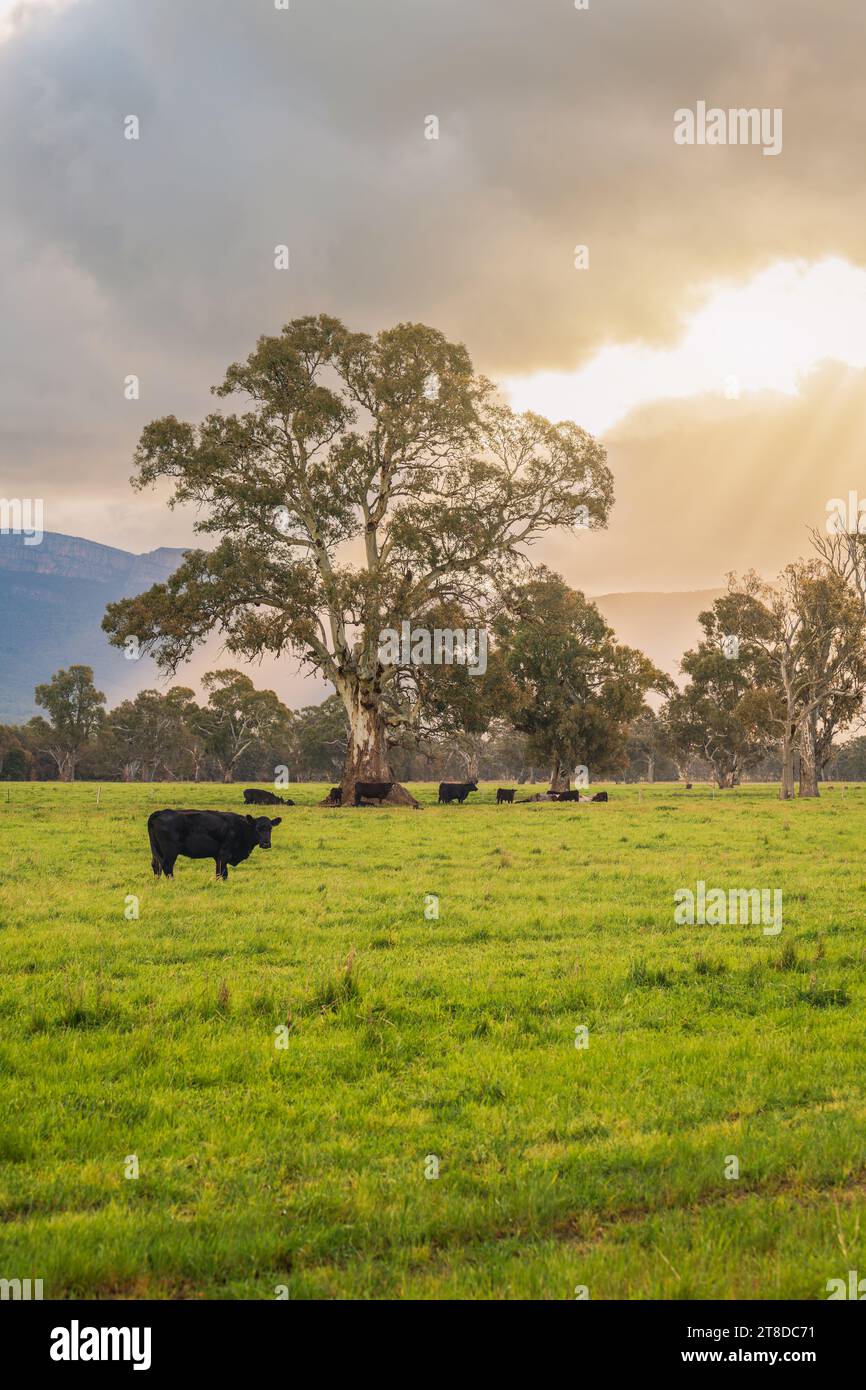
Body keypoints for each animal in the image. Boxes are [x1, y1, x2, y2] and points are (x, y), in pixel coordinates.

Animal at [148, 809, 282, 881]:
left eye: (270, 828)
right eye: (258, 828)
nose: (266, 843)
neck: (241, 827)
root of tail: (159, 813)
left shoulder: (218, 857)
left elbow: (221, 873)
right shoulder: (223, 856)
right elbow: (222, 873)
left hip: (157, 850)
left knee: (156, 865)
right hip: (170, 852)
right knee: (167, 867)